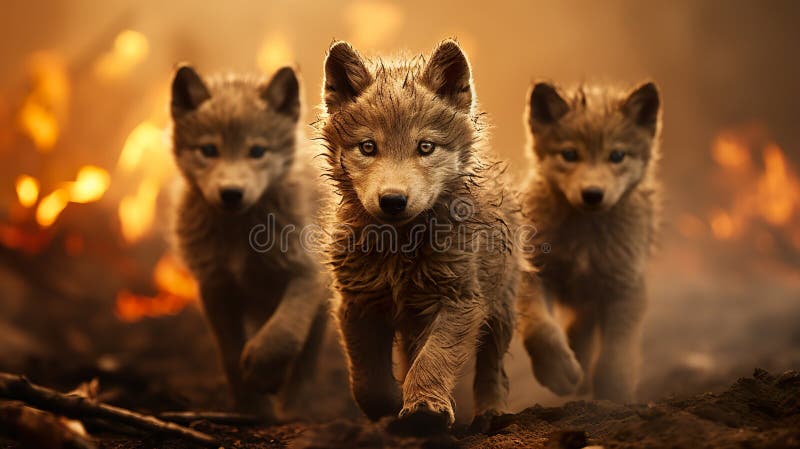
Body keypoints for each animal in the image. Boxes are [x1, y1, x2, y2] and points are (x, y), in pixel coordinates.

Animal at [169, 64, 329, 416]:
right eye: (208, 150)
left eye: (257, 151)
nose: (231, 193)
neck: (239, 233)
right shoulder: (216, 288)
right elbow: (230, 355)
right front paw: (250, 407)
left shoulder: (308, 272)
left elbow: (285, 334)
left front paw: (263, 374)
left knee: (307, 362)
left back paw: (293, 411)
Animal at [318, 39, 523, 433]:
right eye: (368, 147)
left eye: (425, 147)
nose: (393, 200)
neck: (401, 246)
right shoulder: (359, 302)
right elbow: (367, 379)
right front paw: (390, 409)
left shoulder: (460, 299)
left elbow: (434, 359)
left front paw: (425, 409)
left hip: (501, 308)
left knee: (493, 369)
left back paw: (492, 413)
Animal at [517, 81, 662, 402]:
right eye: (570, 154)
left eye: (617, 156)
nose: (593, 194)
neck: (585, 234)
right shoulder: (532, 272)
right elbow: (540, 327)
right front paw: (556, 372)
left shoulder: (626, 286)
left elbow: (616, 352)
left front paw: (613, 397)